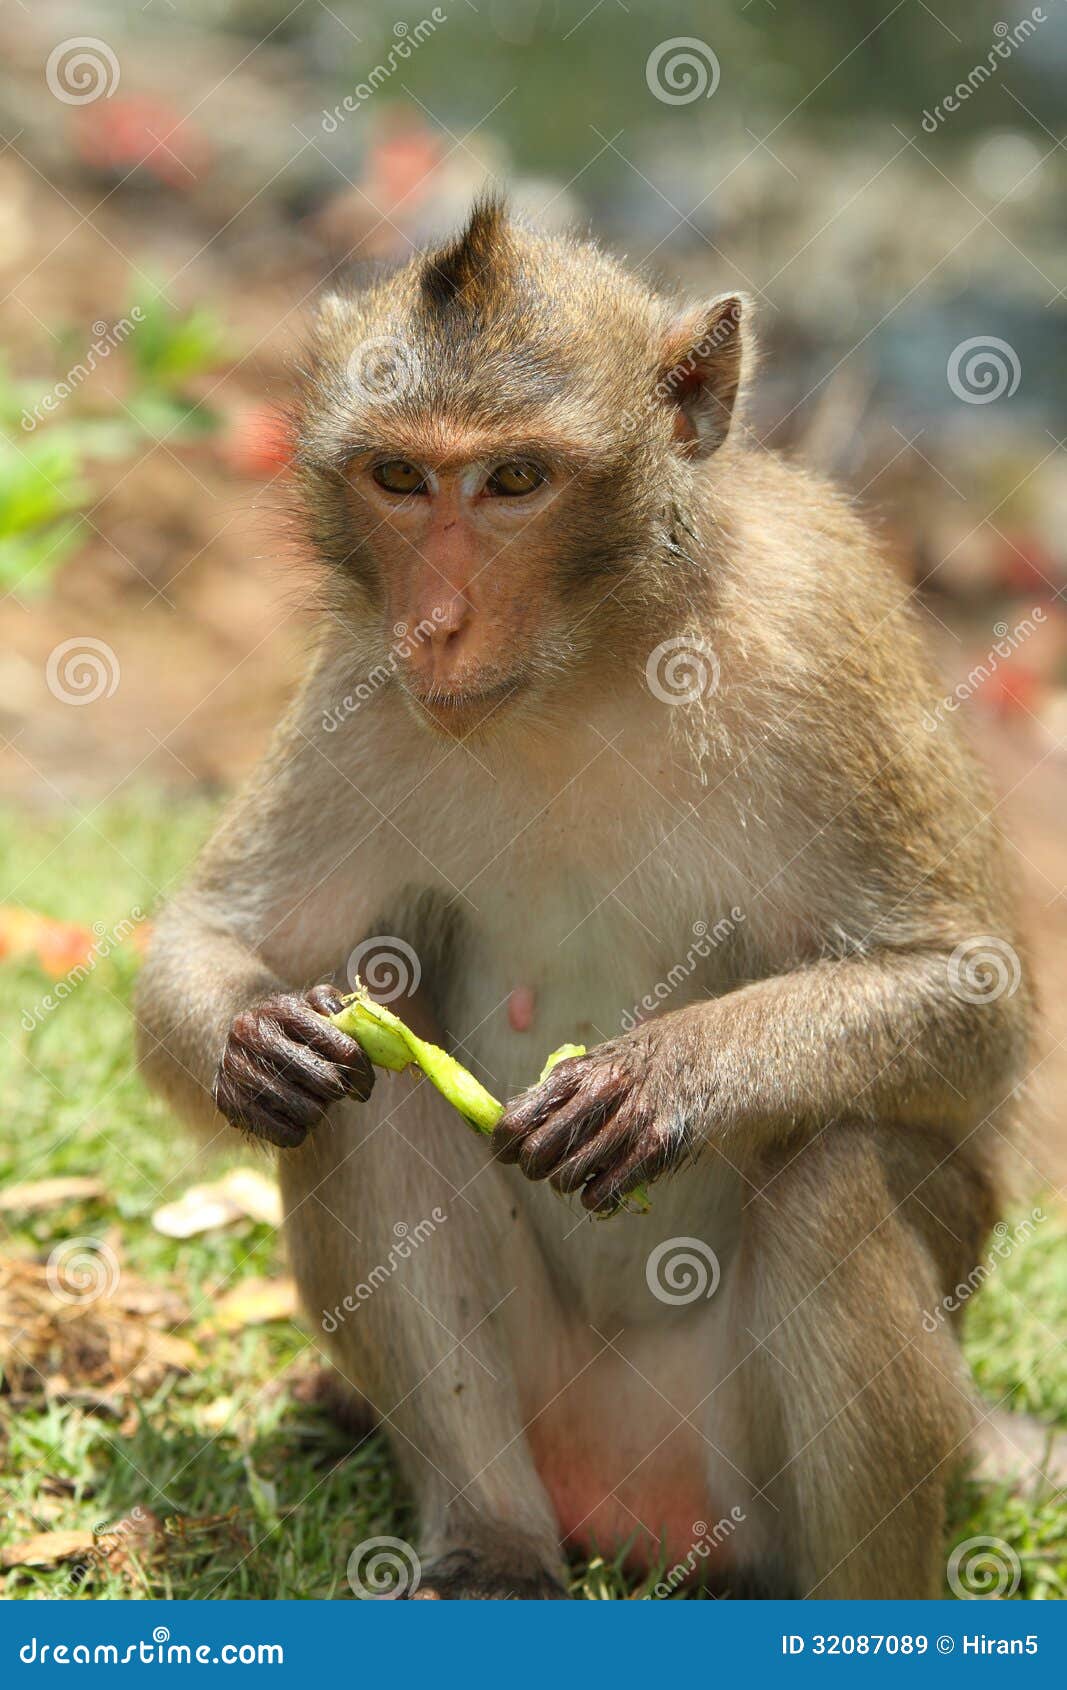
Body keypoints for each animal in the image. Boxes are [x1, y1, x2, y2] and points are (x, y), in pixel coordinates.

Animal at [135, 198, 1037, 1600]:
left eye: (514, 482)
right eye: (400, 479)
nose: (439, 623)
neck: (591, 667)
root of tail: (634, 1509)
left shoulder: (818, 627)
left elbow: (969, 991)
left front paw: (666, 1076)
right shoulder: (362, 691)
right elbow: (221, 938)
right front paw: (260, 1037)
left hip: (742, 1470)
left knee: (829, 1176)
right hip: (552, 1403)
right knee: (358, 1115)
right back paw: (495, 1549)